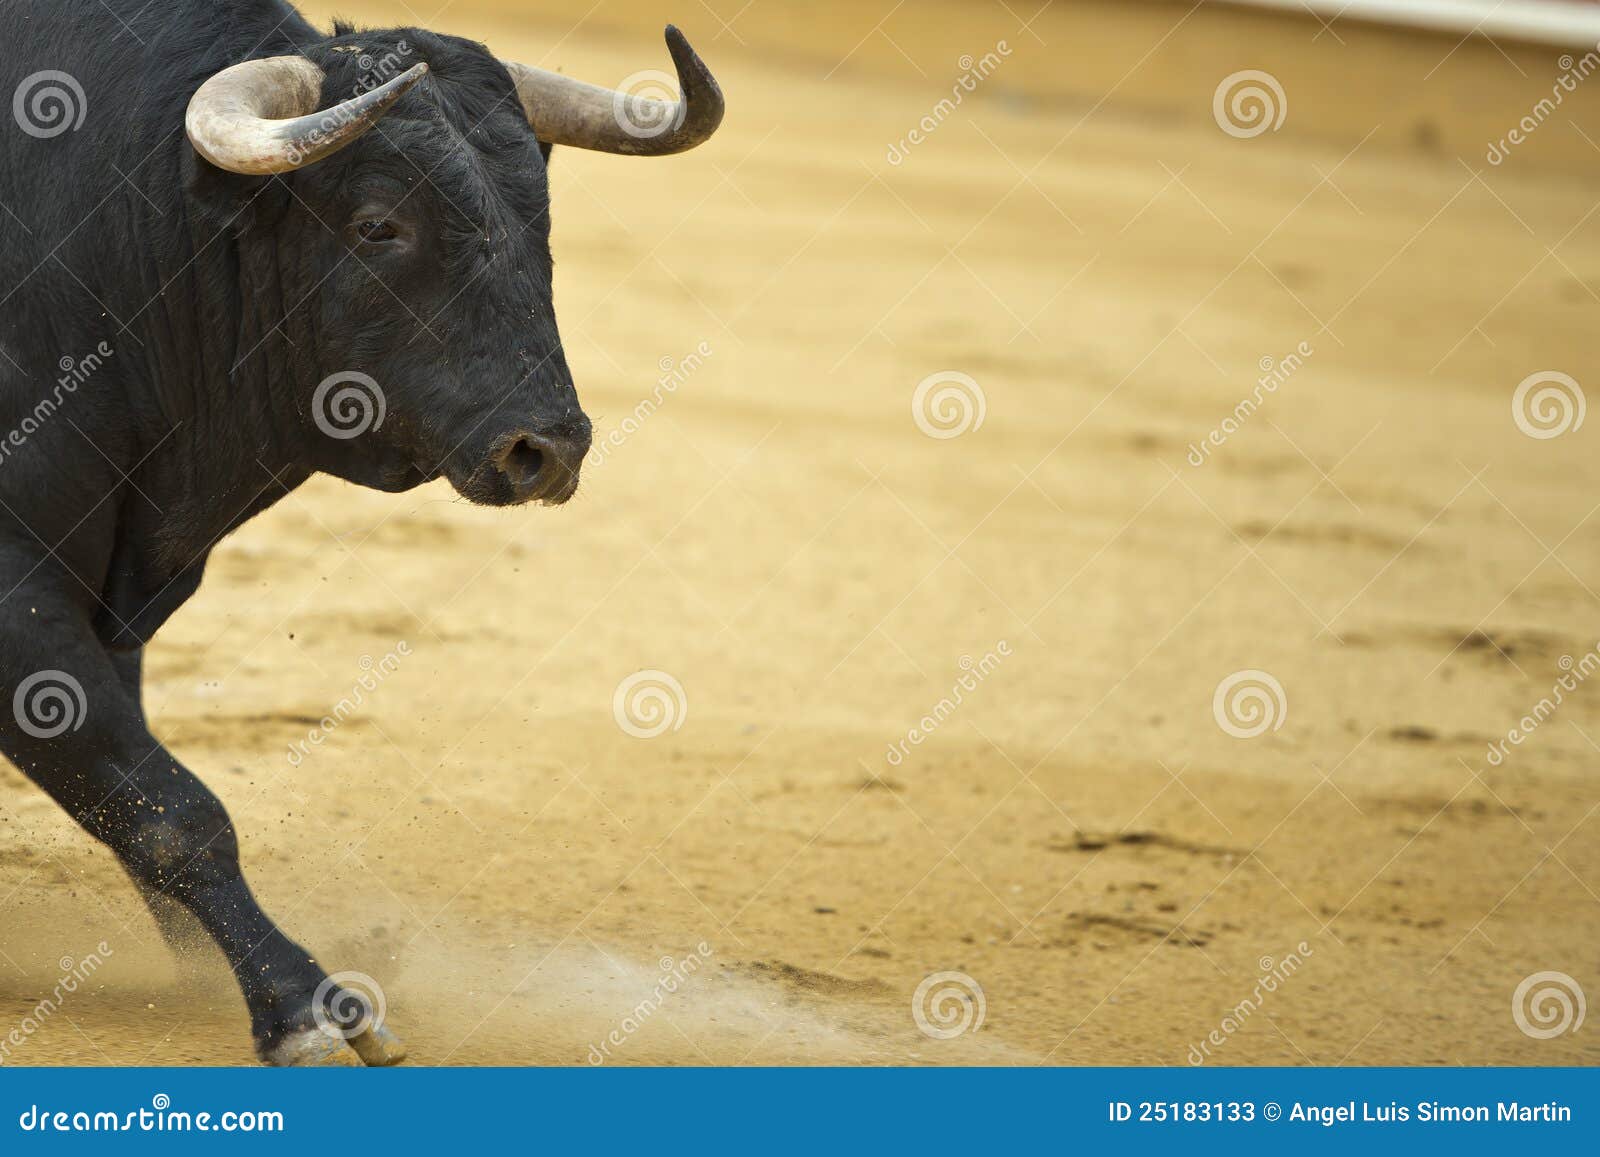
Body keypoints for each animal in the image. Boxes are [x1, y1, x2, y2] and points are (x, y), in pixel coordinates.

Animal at [0, 0, 722, 1064]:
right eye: (379, 224)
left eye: (542, 214)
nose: (545, 448)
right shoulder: (18, 595)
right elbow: (169, 806)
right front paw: (306, 1006)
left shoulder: (106, 594)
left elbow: (130, 790)